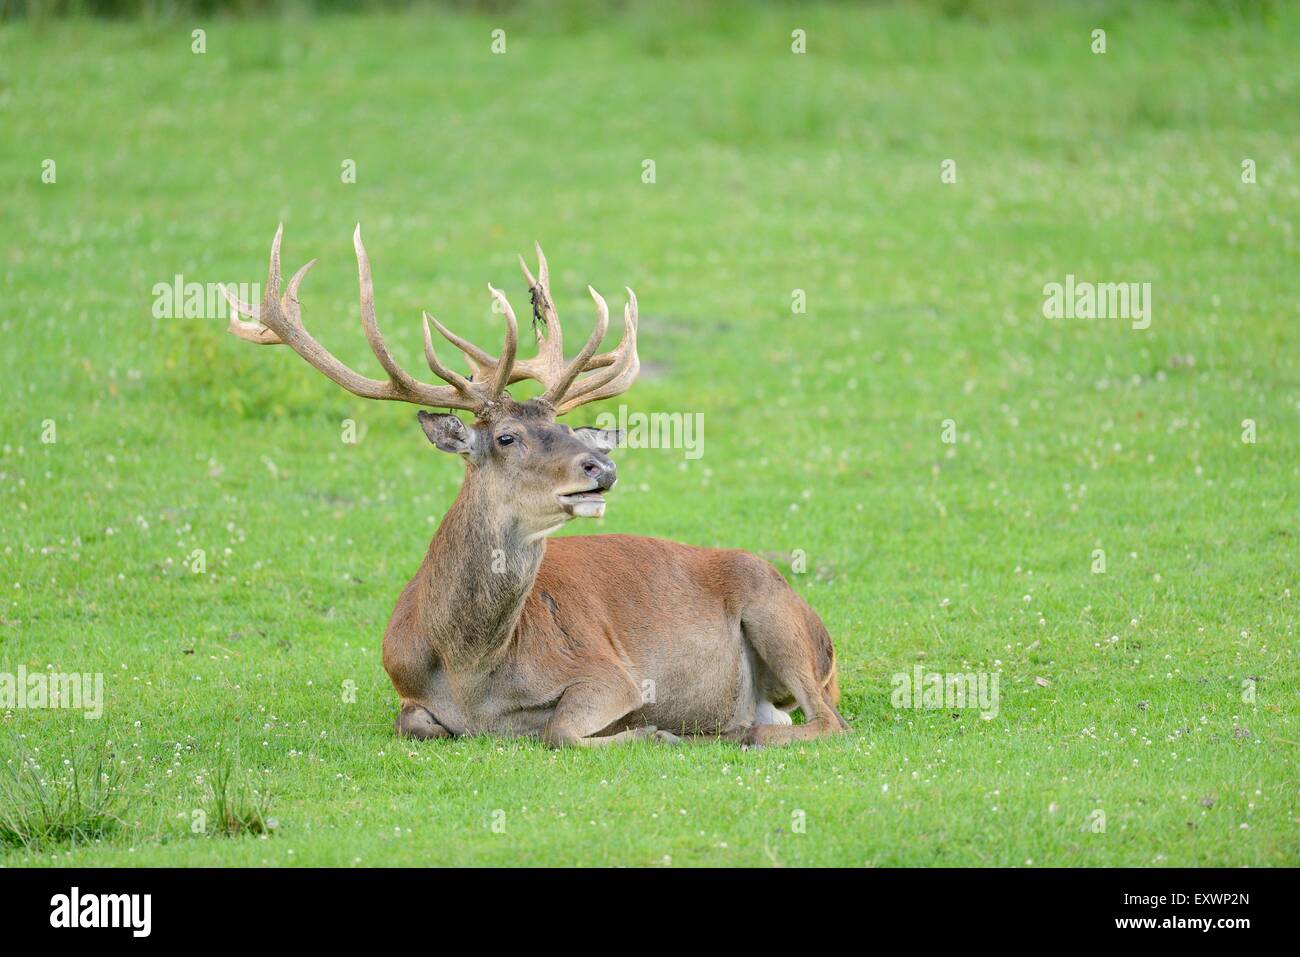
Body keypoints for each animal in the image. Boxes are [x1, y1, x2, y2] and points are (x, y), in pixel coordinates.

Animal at [221, 225, 848, 747]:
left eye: (568, 429)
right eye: (507, 437)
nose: (602, 466)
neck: (473, 674)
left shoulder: (609, 672)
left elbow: (560, 730)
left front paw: (654, 732)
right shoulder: (404, 686)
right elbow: (414, 722)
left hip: (776, 613)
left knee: (826, 722)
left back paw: (731, 731)